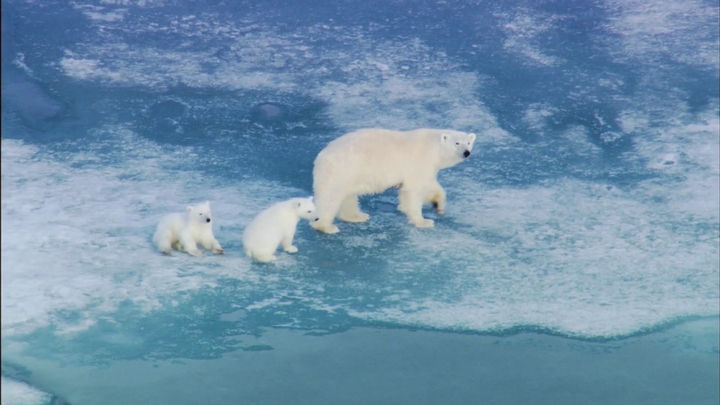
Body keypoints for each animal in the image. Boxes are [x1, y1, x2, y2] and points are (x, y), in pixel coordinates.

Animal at [310, 128, 476, 234]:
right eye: (456, 143)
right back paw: (326, 227)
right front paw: (423, 221)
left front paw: (438, 205)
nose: (466, 153)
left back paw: (357, 216)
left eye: (468, 143)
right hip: (342, 170)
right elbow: (414, 190)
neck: (433, 147)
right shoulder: (420, 160)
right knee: (330, 198)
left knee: (348, 196)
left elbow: (430, 186)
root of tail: (320, 158)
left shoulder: (428, 167)